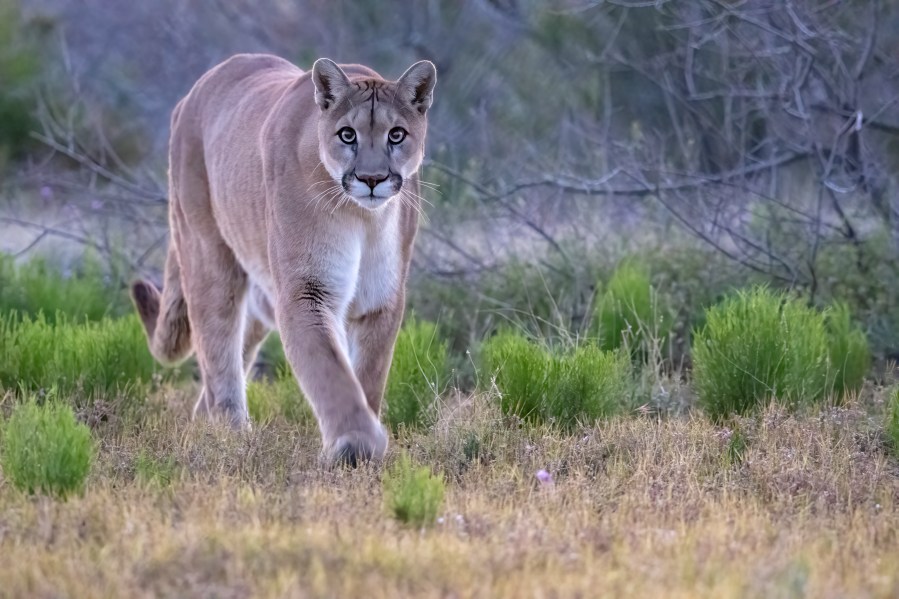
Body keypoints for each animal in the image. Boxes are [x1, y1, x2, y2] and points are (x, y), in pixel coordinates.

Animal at [130, 54, 436, 465]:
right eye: (347, 135)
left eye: (397, 135)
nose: (372, 179)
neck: (362, 217)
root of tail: (197, 88)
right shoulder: (307, 291)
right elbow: (330, 371)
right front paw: (356, 444)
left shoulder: (380, 299)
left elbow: (368, 374)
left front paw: (363, 447)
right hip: (208, 256)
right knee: (218, 350)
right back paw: (230, 433)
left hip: (261, 289)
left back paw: (206, 422)